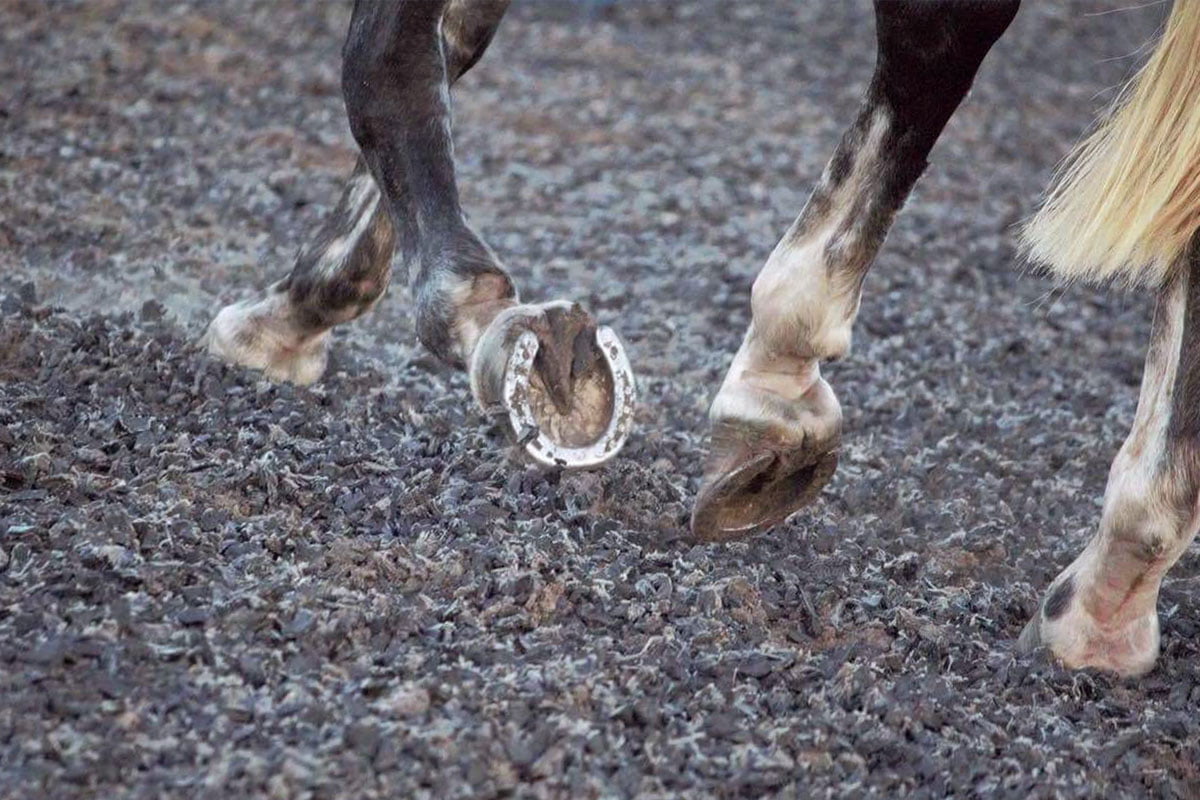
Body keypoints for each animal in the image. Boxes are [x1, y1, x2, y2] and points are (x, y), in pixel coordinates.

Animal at [203, 0, 1200, 678]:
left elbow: (384, 62)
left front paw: (486, 327)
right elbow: (452, 43)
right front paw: (298, 307)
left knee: (938, 35)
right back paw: (1108, 593)